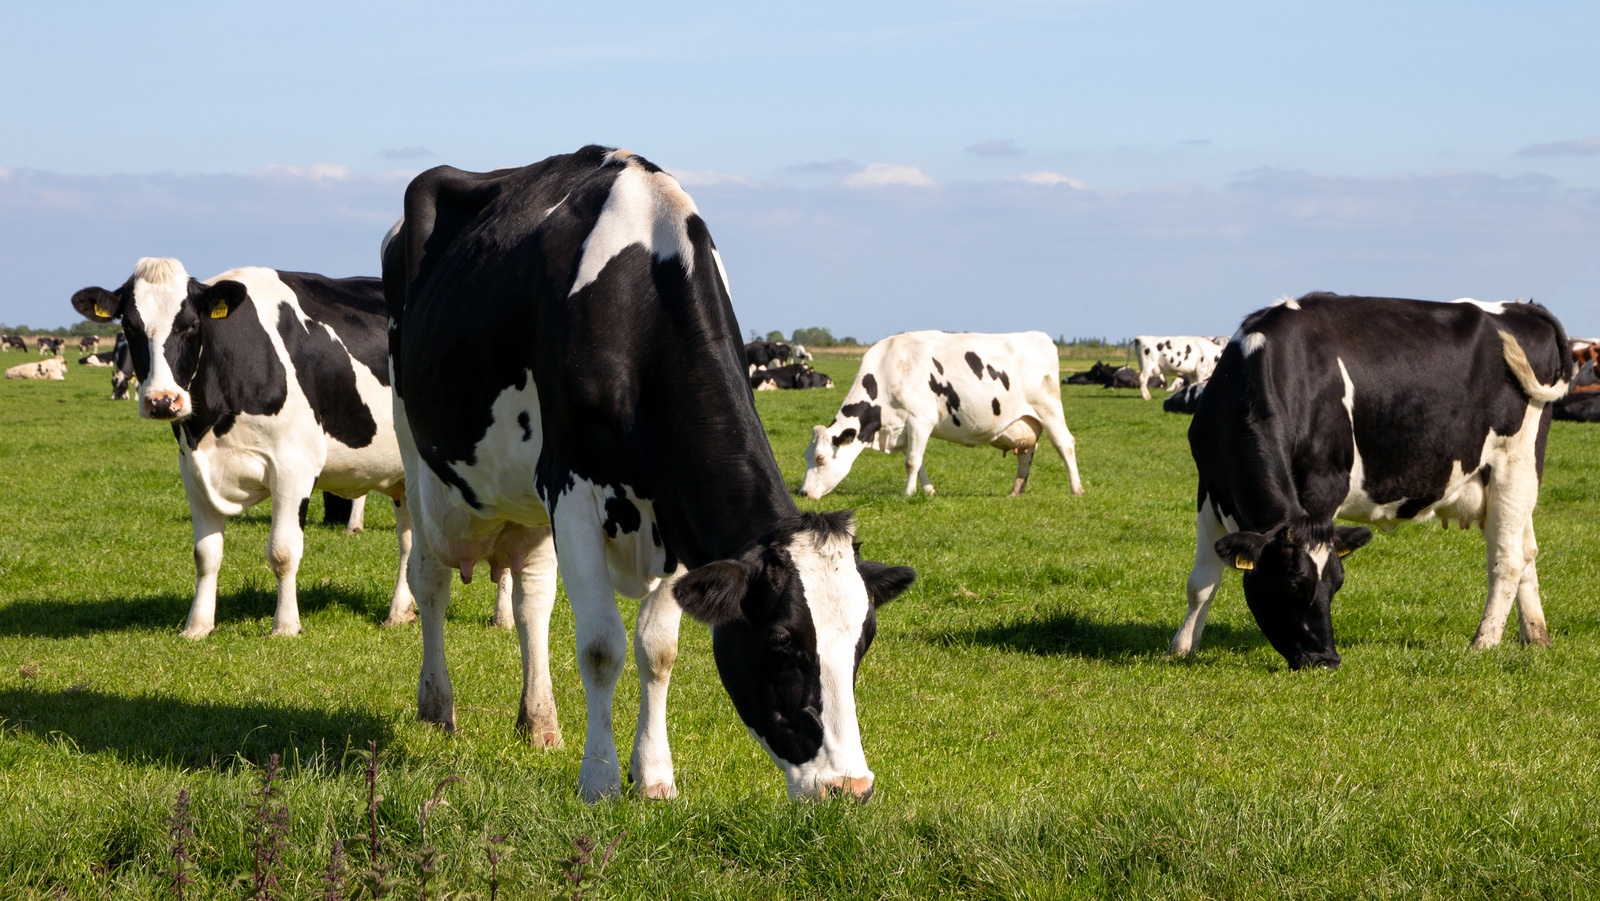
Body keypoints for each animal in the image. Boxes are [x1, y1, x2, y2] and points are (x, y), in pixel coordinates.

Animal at [70, 258, 419, 638]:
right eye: (129, 326)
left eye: (192, 325)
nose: (162, 401)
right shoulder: (193, 470)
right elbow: (205, 554)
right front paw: (197, 627)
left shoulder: (294, 466)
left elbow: (283, 551)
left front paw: (286, 626)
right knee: (410, 539)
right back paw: (400, 612)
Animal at [383, 145, 915, 802]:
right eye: (781, 642)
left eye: (864, 641)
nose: (851, 786)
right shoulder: (571, 488)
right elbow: (600, 646)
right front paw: (601, 780)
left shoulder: (675, 509)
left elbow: (657, 650)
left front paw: (655, 775)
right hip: (418, 451)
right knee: (429, 576)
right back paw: (437, 706)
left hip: (526, 498)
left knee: (532, 599)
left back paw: (539, 721)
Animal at [800, 330, 1085, 498]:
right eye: (807, 456)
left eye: (821, 457)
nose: (803, 493)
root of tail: (1040, 336)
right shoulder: (905, 428)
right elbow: (919, 462)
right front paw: (927, 490)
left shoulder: (920, 420)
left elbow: (912, 462)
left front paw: (908, 493)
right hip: (1026, 421)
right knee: (1026, 454)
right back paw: (1015, 491)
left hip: (1049, 409)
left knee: (1065, 444)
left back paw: (1077, 489)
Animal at [1171, 292, 1570, 671]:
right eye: (1292, 583)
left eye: (1337, 584)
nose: (1326, 660)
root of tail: (1520, 307)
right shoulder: (1209, 488)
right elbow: (1202, 582)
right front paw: (1183, 648)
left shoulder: (1323, 488)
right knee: (1527, 551)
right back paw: (1536, 636)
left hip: (1516, 462)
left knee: (1507, 558)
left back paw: (1484, 641)